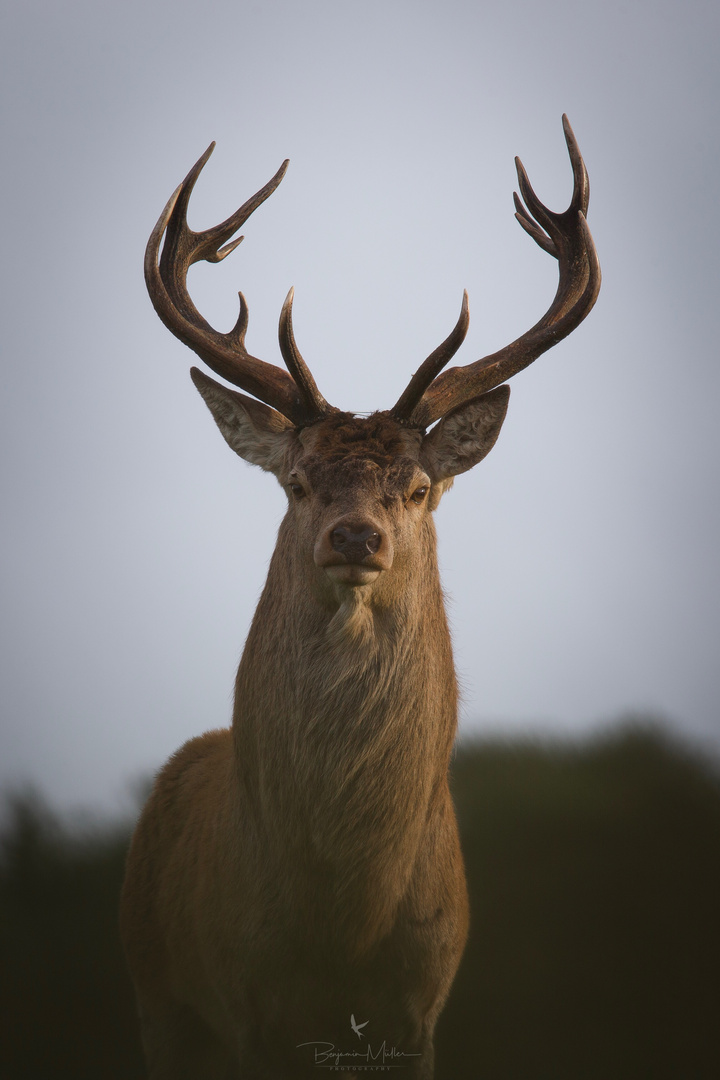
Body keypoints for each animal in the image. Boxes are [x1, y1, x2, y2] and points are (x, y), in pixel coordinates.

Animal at [120, 116, 600, 1079]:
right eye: (298, 482)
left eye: (416, 489)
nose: (355, 538)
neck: (339, 926)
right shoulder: (240, 999)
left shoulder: (423, 1001)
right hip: (160, 999)